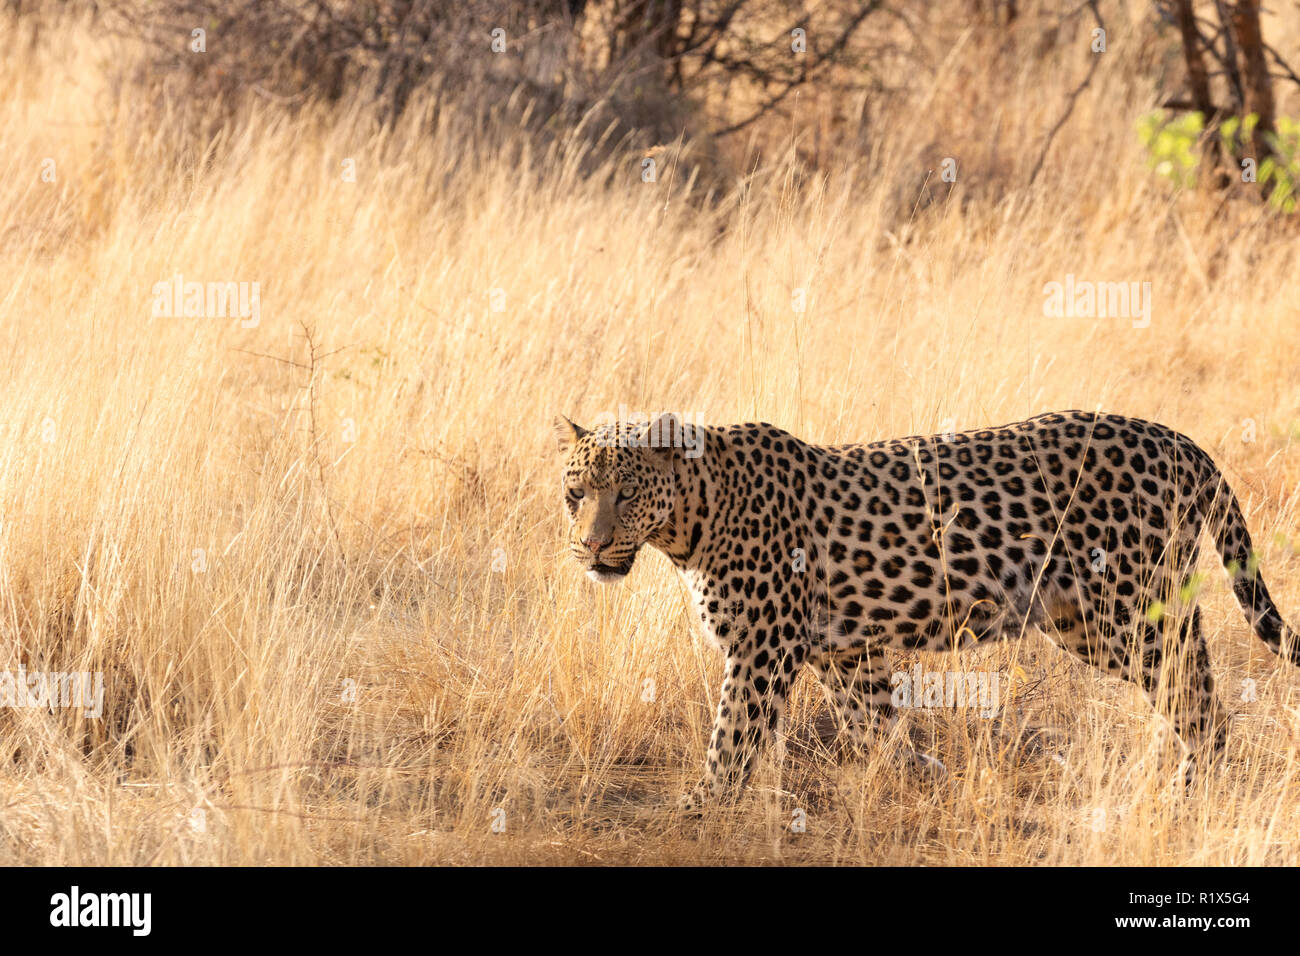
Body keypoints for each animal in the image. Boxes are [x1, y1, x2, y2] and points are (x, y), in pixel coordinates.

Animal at [553, 409, 1299, 811]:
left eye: (625, 493)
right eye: (575, 493)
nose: (590, 545)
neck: (693, 522)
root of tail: (1176, 438)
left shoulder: (764, 648)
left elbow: (732, 734)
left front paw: (703, 806)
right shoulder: (844, 652)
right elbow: (877, 724)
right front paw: (919, 779)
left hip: (1127, 611)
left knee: (1196, 696)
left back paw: (1192, 790)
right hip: (1085, 621)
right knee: (1196, 682)